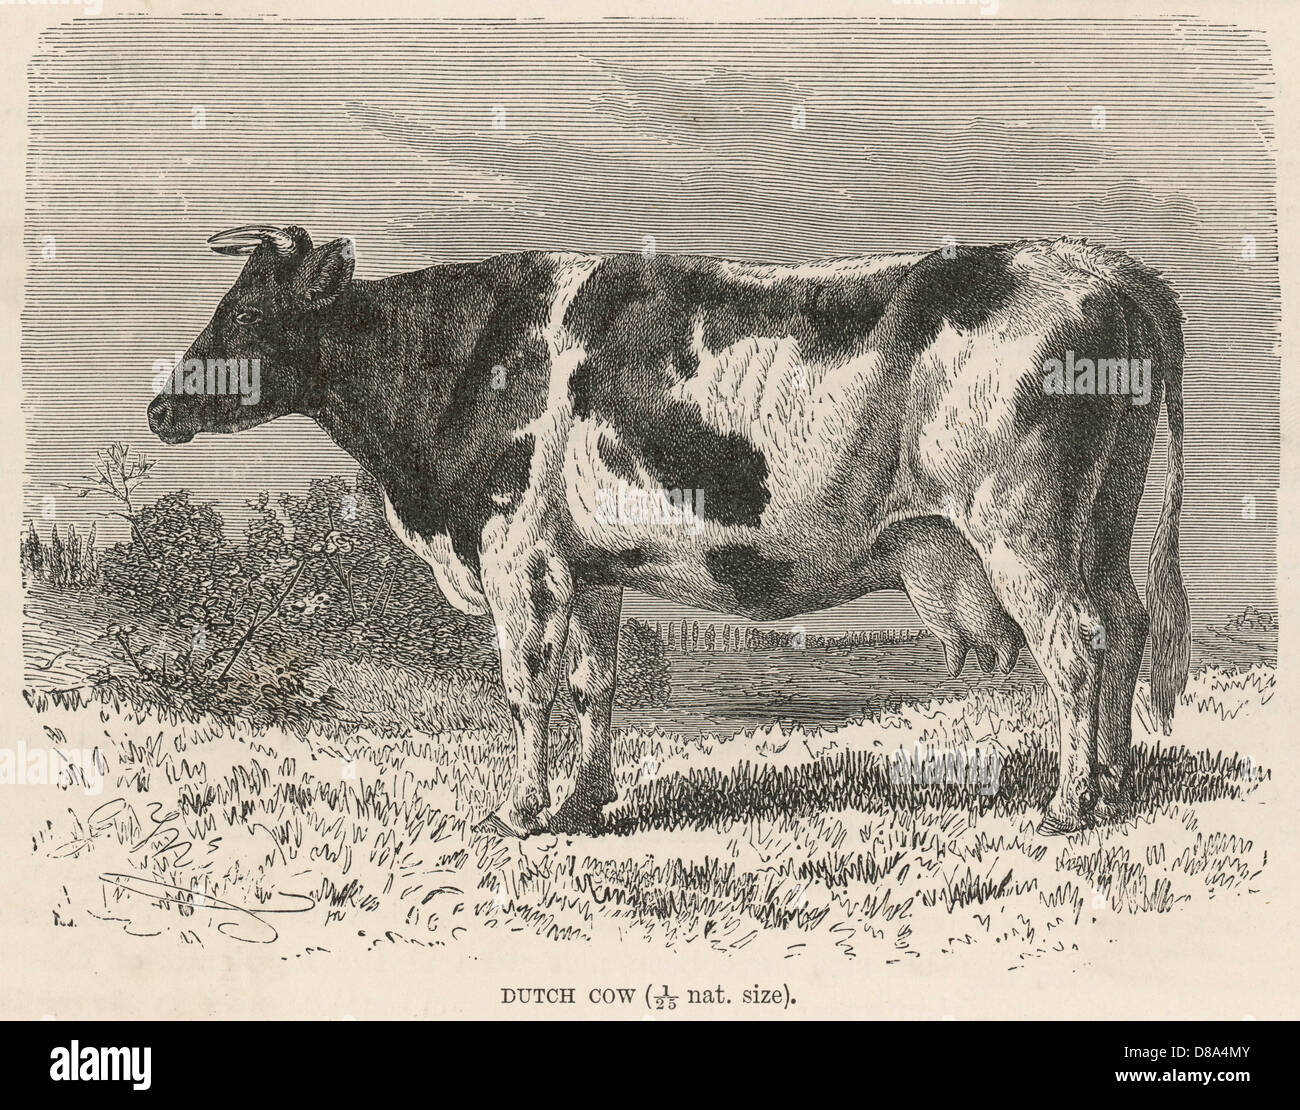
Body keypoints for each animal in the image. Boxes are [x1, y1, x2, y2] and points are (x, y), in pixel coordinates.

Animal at [147, 224, 1189, 838]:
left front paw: (521, 812)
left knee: (1076, 647)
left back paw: (1067, 807)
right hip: (1102, 522)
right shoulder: (591, 566)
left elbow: (526, 690)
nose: (160, 408)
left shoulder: (515, 554)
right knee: (1128, 623)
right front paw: (585, 801)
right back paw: (1117, 783)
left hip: (1023, 532)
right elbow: (593, 683)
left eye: (248, 310)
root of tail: (1092, 263)